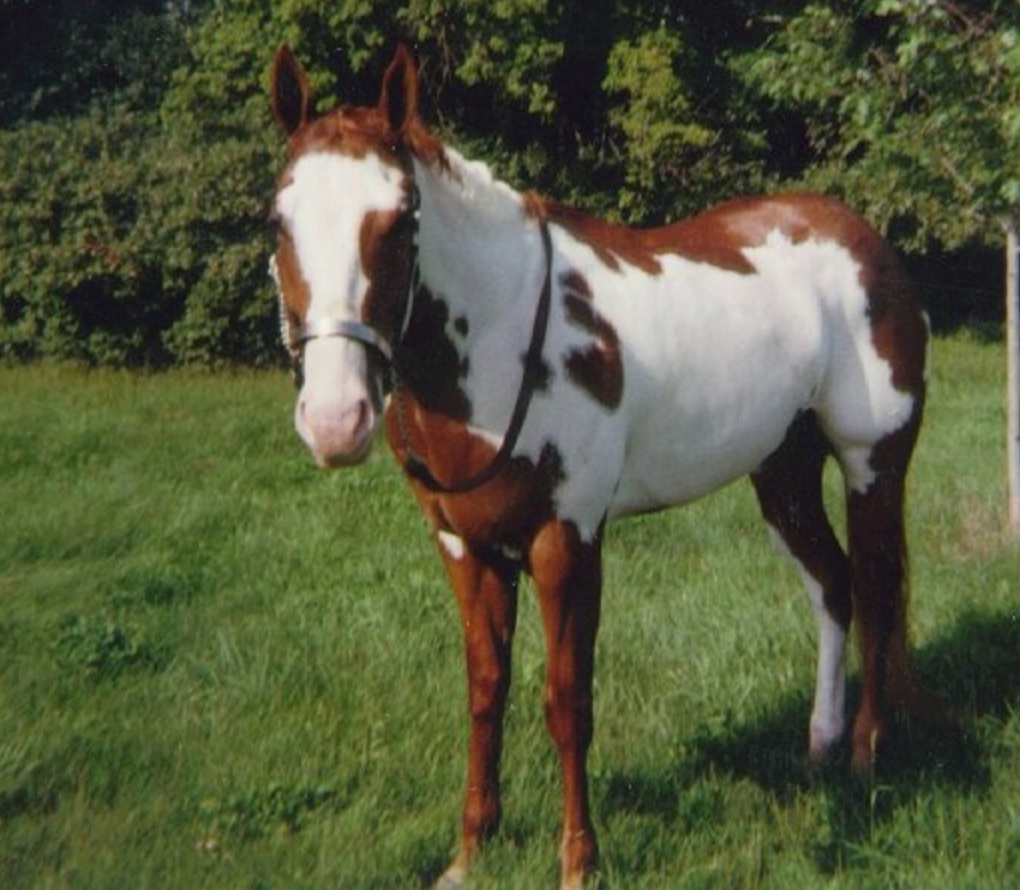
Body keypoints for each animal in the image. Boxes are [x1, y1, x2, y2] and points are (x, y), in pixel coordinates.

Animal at [268, 44, 932, 890]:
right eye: (278, 220)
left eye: (401, 218)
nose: (334, 421)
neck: (504, 337)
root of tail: (867, 243)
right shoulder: (466, 546)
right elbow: (485, 690)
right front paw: (470, 852)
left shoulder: (567, 540)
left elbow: (566, 700)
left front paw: (578, 861)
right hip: (781, 476)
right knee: (834, 586)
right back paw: (820, 744)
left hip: (872, 464)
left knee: (876, 590)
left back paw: (864, 756)